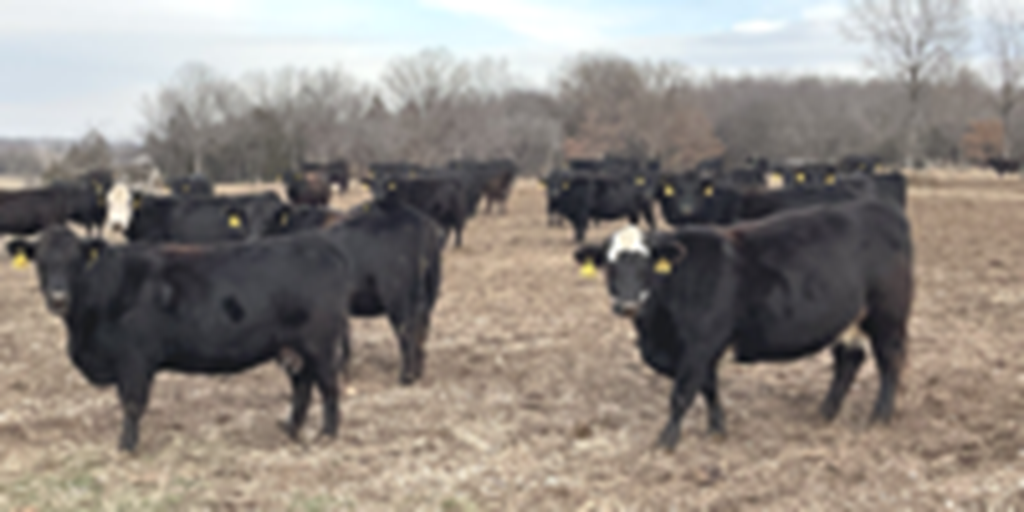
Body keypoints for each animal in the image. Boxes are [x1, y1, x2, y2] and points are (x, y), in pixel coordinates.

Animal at [7, 225, 353, 452]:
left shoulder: (134, 360)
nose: (58, 298)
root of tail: (321, 245)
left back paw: (327, 434)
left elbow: (132, 403)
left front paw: (126, 446)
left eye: (76, 261)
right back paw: (291, 428)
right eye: (41, 262)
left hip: (320, 345)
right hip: (291, 348)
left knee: (328, 386)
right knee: (302, 385)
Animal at [573, 199, 913, 451]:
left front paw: (665, 442)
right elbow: (708, 388)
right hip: (850, 320)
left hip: (887, 317)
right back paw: (825, 413)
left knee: (889, 361)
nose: (628, 304)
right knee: (849, 360)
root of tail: (880, 208)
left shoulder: (700, 344)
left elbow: (682, 394)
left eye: (647, 264)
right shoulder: (703, 351)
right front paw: (717, 430)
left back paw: (880, 416)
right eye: (609, 265)